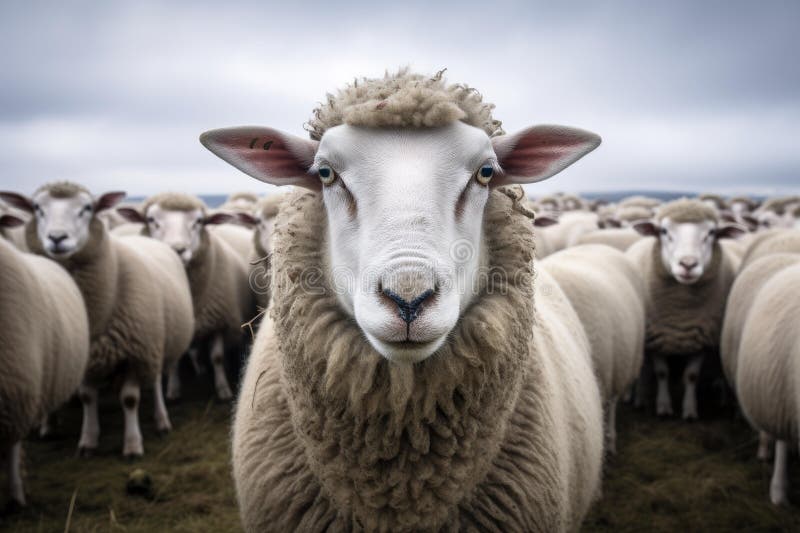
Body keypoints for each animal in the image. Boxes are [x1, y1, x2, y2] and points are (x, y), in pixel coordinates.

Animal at [0, 183, 194, 458]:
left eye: (87, 207)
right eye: (37, 208)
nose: (57, 238)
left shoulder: (134, 351)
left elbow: (130, 399)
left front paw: (132, 445)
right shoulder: (85, 357)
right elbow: (87, 397)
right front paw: (88, 440)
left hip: (156, 341)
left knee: (155, 380)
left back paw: (161, 421)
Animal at [119, 193, 255, 401]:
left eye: (199, 221)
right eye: (151, 220)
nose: (178, 249)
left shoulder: (219, 321)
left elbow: (217, 357)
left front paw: (223, 389)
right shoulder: (178, 325)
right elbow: (176, 360)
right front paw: (173, 389)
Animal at [626, 198, 744, 419]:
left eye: (711, 233)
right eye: (664, 231)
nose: (688, 264)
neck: (681, 313)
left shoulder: (701, 339)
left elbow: (691, 376)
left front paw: (689, 410)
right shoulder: (658, 338)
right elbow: (661, 373)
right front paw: (663, 407)